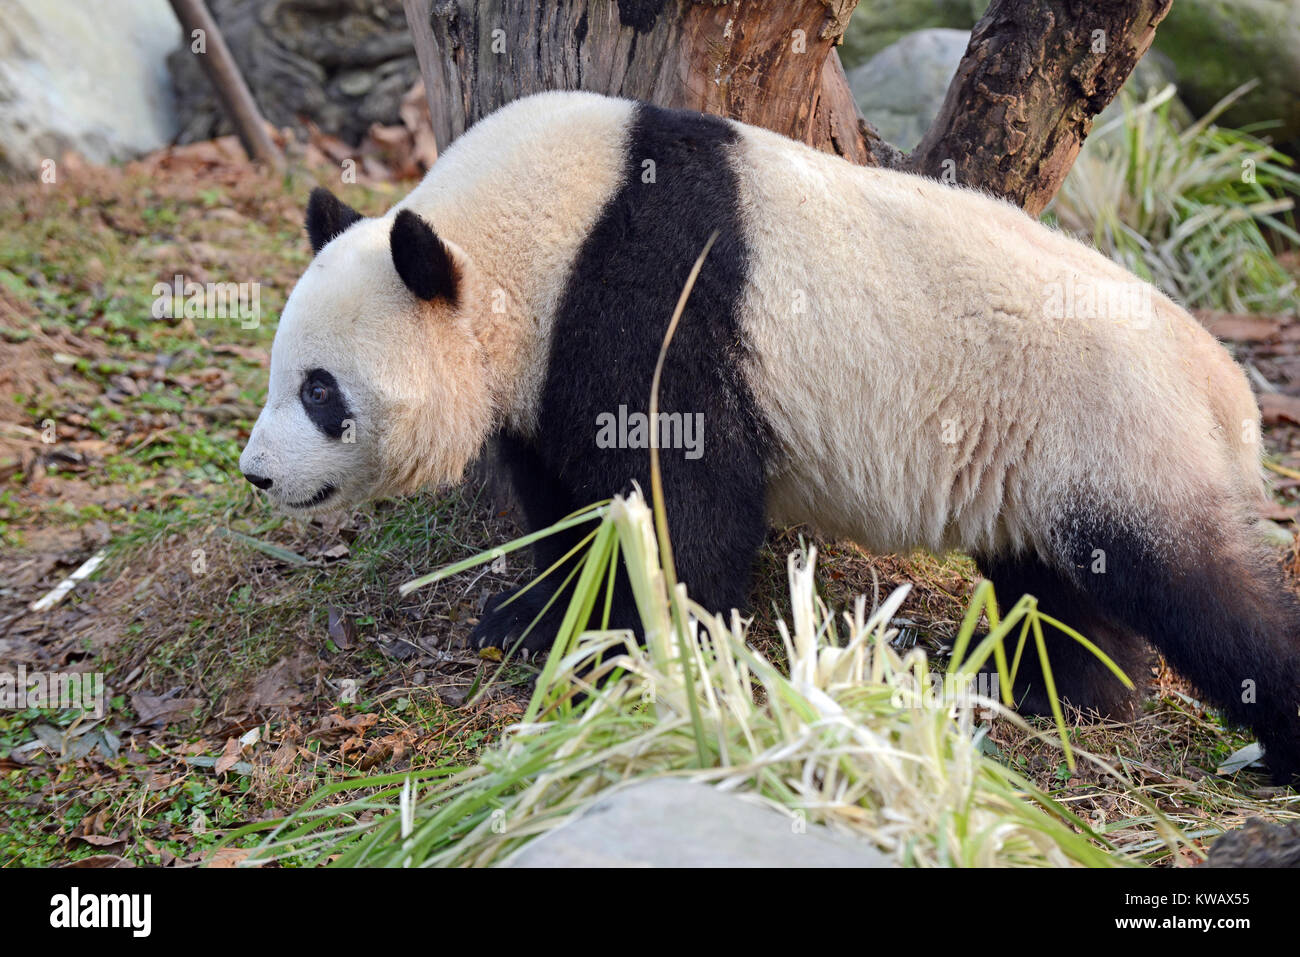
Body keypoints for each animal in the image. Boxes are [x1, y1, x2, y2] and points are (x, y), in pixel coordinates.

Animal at [239, 90, 1300, 783]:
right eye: (281, 373)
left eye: (321, 391)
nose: (257, 475)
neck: (530, 234)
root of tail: (1227, 389)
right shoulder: (545, 368)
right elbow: (568, 501)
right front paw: (535, 618)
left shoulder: (653, 294)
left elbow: (683, 495)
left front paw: (643, 643)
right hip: (1043, 452)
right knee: (1059, 580)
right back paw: (1052, 685)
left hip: (1111, 427)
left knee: (1195, 587)